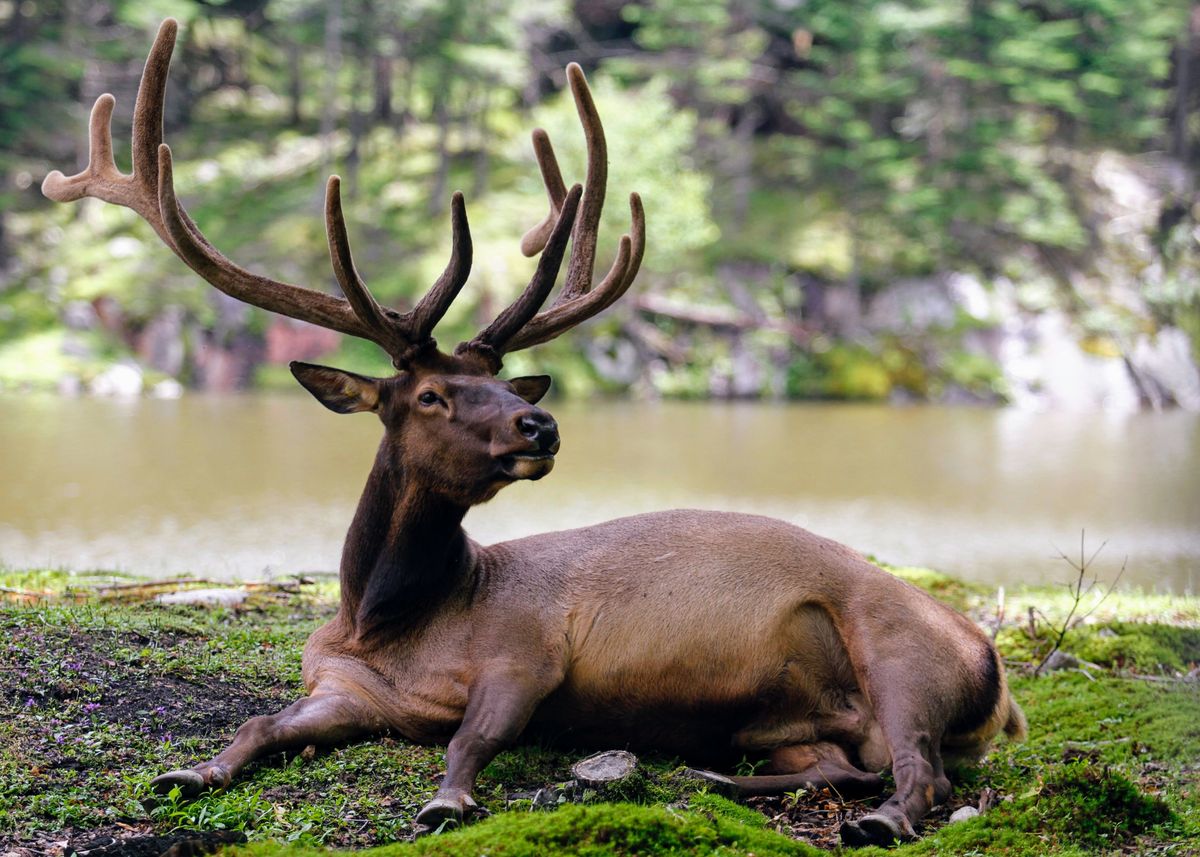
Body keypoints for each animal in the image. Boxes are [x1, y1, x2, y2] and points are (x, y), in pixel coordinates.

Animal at [43, 19, 1026, 847]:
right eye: (431, 394)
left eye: (495, 383)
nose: (539, 420)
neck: (389, 624)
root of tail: (994, 668)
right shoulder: (340, 688)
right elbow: (255, 723)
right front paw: (189, 770)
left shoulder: (527, 651)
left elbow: (473, 740)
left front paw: (447, 799)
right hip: (796, 723)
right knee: (835, 762)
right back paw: (719, 774)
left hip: (901, 654)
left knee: (922, 770)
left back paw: (878, 817)